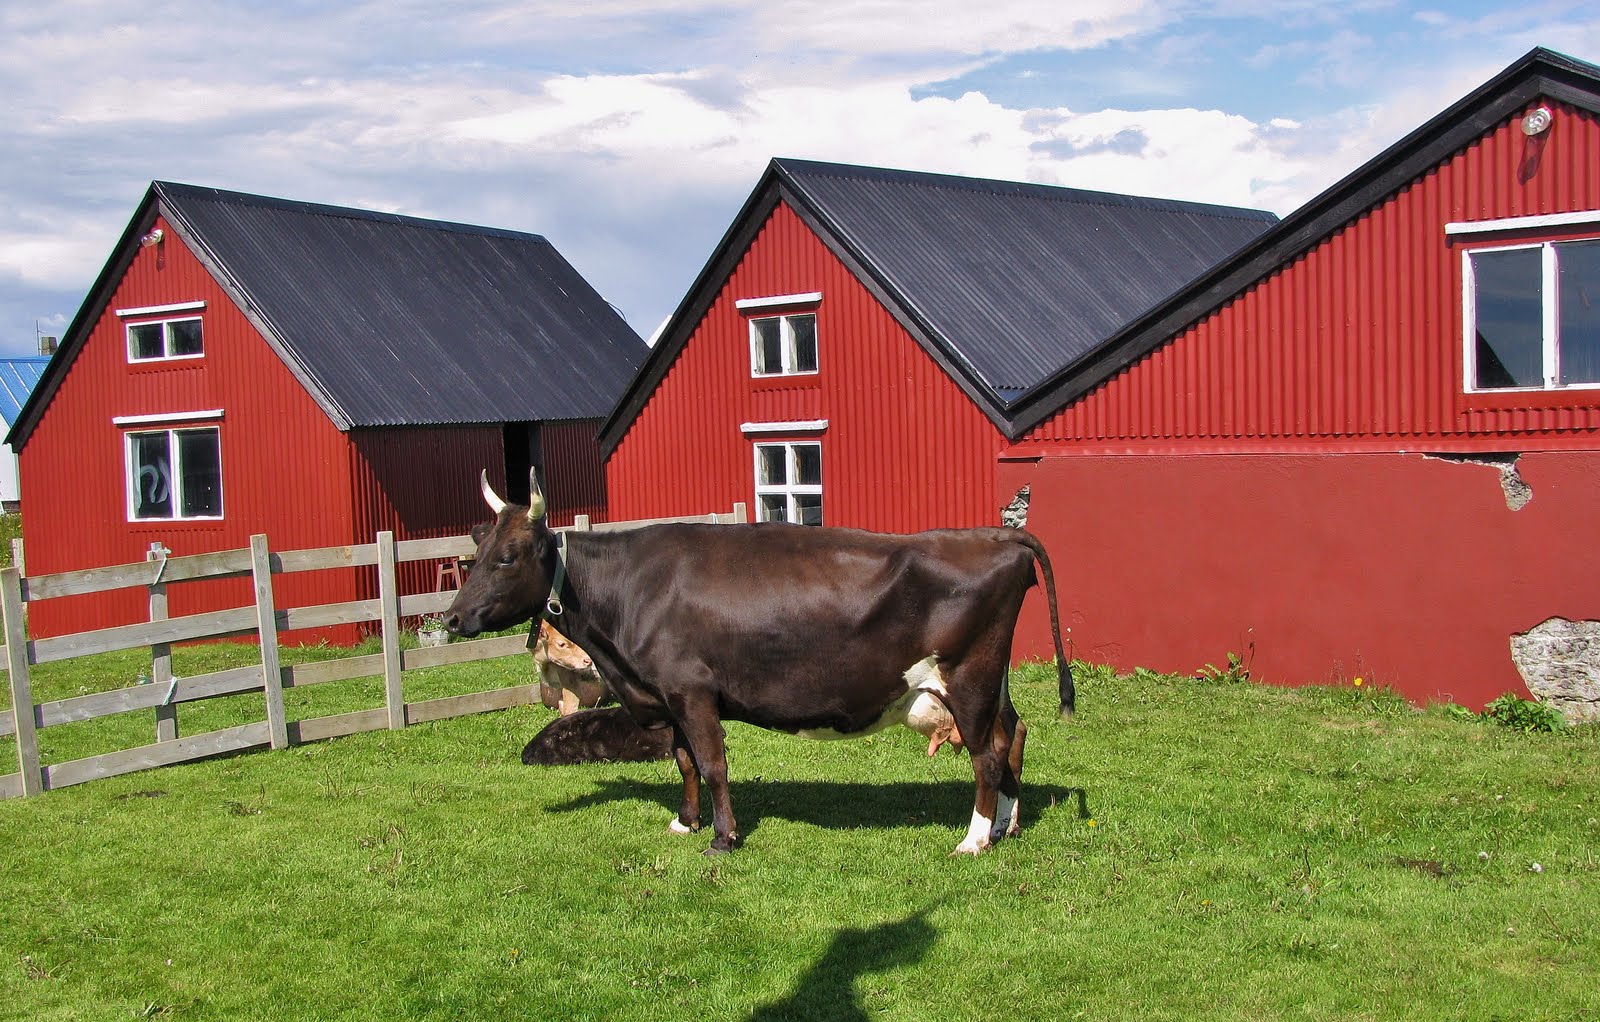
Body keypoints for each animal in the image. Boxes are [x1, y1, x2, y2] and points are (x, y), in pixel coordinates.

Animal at [447, 470, 1072, 856]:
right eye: (477, 554)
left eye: (508, 557)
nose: (452, 619)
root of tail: (996, 536)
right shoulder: (667, 695)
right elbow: (683, 762)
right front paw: (684, 821)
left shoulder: (692, 691)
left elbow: (713, 764)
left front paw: (722, 838)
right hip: (991, 682)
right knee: (1013, 733)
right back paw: (1008, 824)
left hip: (968, 679)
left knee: (986, 755)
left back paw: (974, 838)